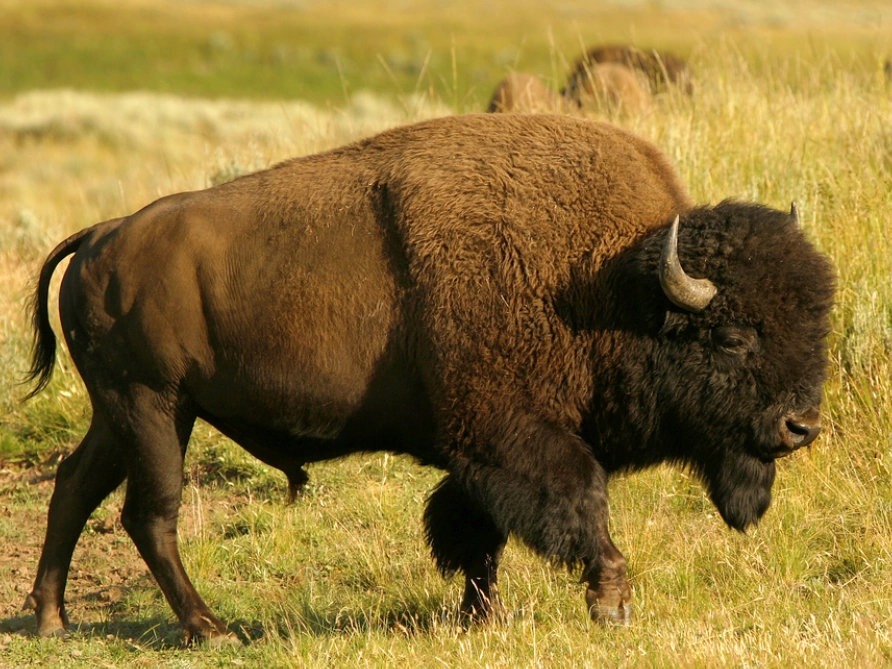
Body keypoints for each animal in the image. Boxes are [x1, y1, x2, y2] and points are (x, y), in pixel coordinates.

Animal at [23, 113, 834, 644]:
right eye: (732, 336)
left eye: (814, 326)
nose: (800, 426)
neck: (605, 284)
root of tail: (101, 236)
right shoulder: (513, 436)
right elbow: (578, 506)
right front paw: (610, 604)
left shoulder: (479, 455)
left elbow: (475, 533)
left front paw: (480, 618)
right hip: (154, 406)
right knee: (148, 514)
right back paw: (208, 628)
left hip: (126, 411)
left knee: (75, 484)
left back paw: (52, 620)